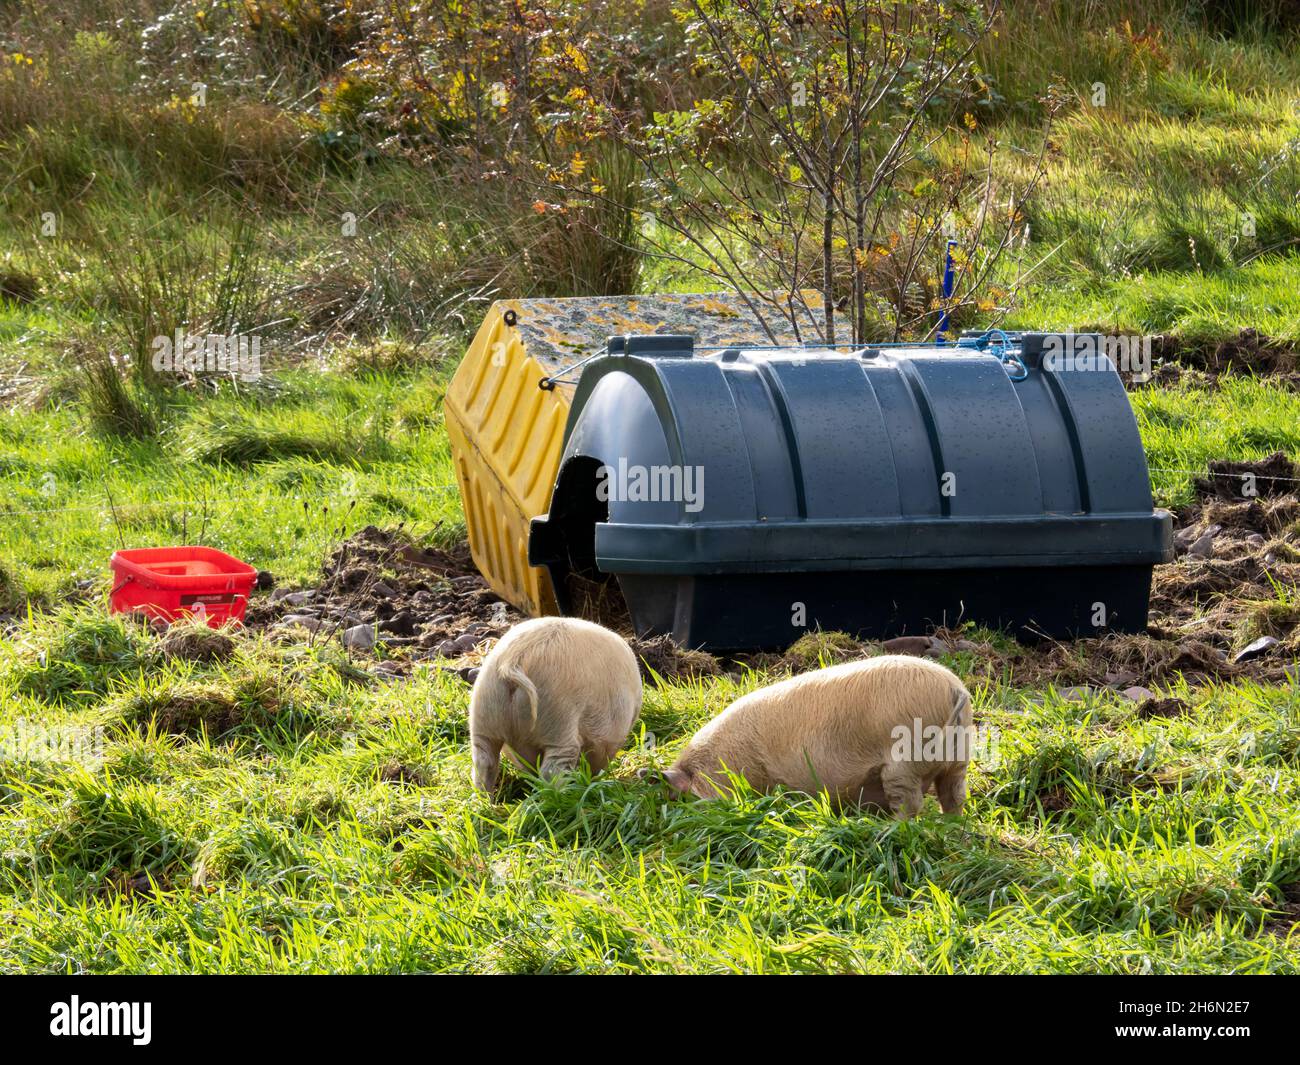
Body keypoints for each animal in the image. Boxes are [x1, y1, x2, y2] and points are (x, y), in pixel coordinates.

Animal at [469, 617, 642, 791]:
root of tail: (513, 661)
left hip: (483, 711)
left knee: (483, 762)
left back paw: (486, 798)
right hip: (558, 716)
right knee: (553, 768)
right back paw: (563, 792)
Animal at [662, 655, 971, 818]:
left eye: (686, 799)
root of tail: (953, 689)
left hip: (904, 761)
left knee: (911, 803)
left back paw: (891, 826)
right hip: (958, 759)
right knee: (955, 796)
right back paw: (952, 827)